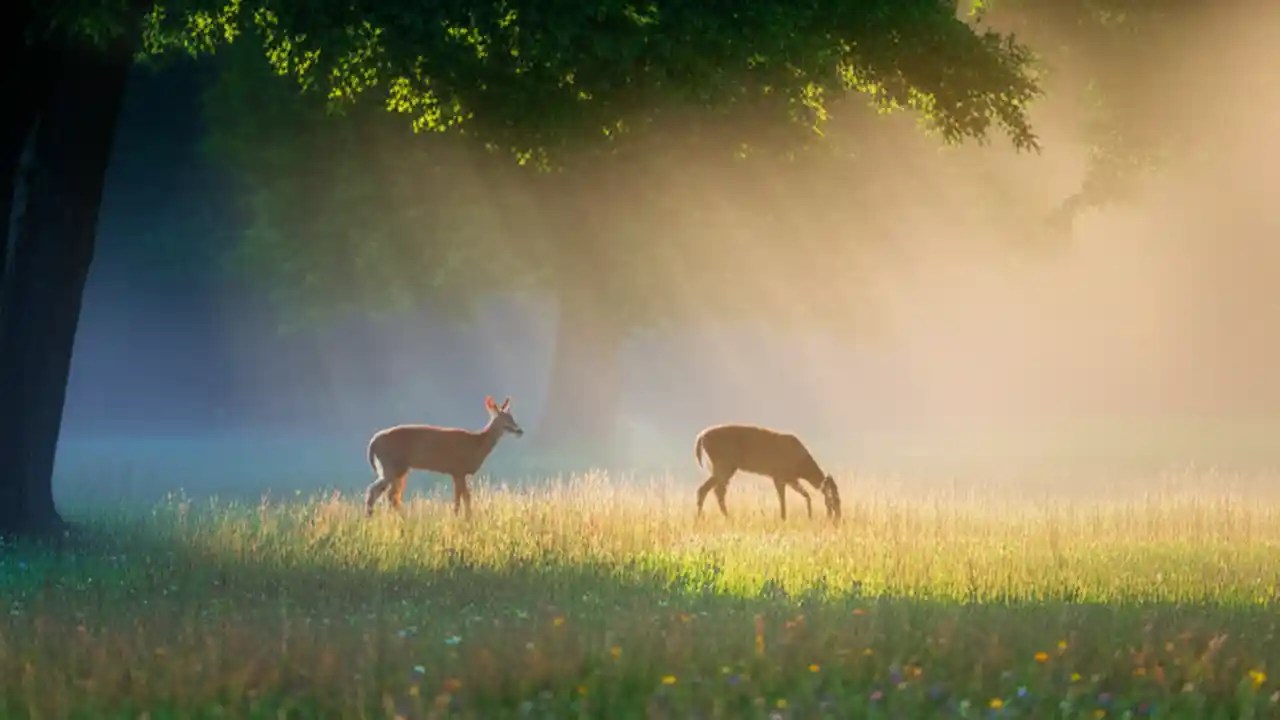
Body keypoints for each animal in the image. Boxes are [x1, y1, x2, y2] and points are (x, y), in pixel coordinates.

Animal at [364, 395, 524, 519]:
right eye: (505, 419)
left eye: (512, 417)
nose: (520, 430)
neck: (477, 444)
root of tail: (373, 443)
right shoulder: (458, 469)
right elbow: (462, 498)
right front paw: (462, 518)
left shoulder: (457, 472)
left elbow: (463, 497)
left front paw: (465, 518)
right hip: (391, 466)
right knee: (381, 493)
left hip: (398, 470)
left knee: (387, 495)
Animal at [694, 424, 842, 522]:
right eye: (835, 499)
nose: (838, 518)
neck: (801, 463)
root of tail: (701, 438)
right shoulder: (779, 476)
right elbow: (783, 499)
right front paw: (783, 518)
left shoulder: (790, 478)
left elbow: (806, 495)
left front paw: (809, 517)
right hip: (724, 465)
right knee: (717, 491)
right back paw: (726, 517)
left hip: (724, 467)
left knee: (705, 489)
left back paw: (701, 519)